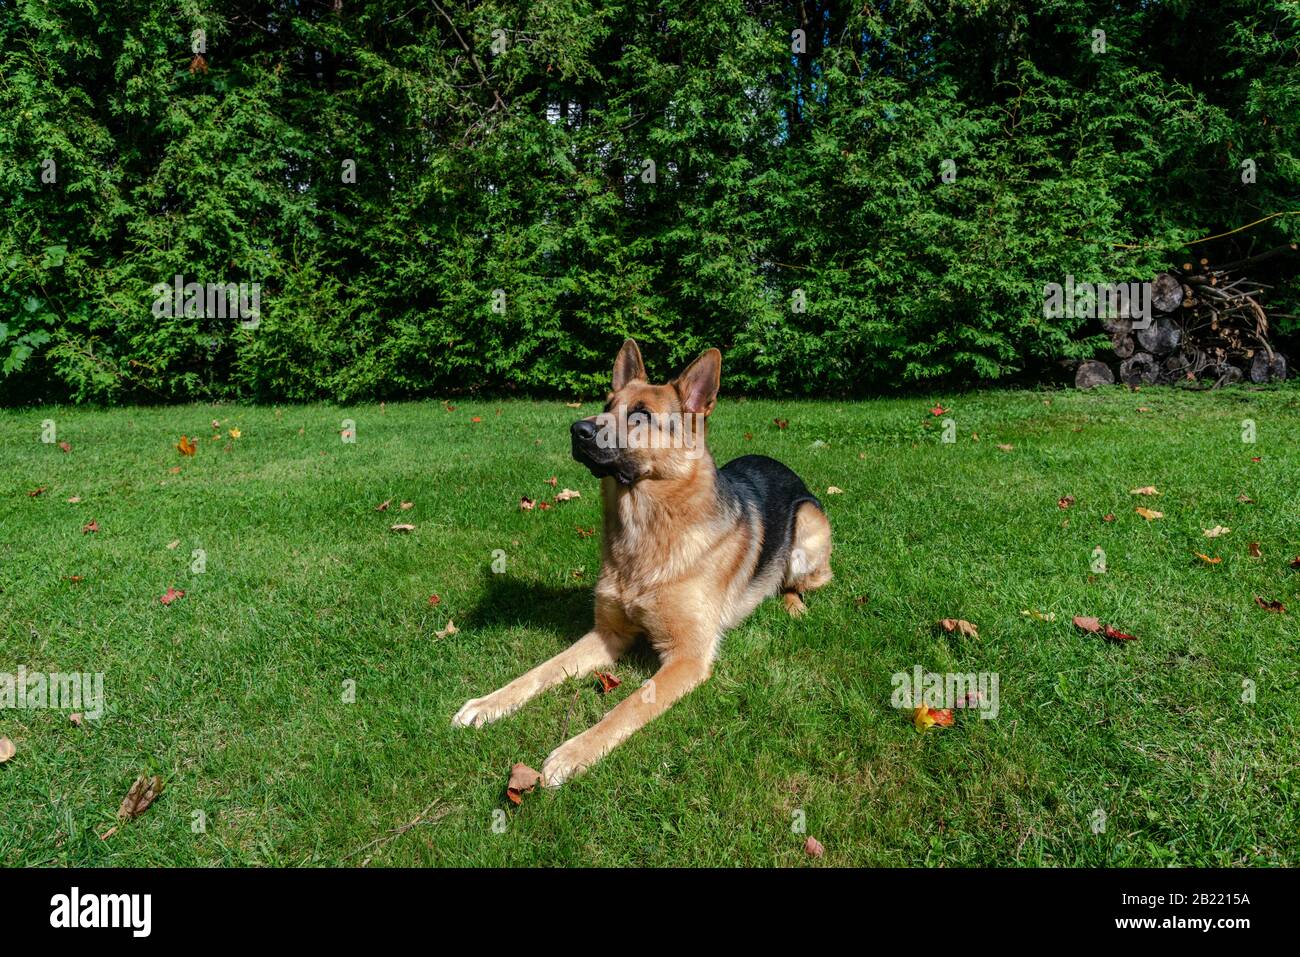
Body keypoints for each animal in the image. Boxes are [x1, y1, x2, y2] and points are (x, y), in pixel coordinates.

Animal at [452, 343, 832, 785]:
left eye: (641, 415)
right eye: (606, 406)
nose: (577, 430)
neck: (647, 529)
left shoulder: (686, 658)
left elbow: (629, 705)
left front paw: (575, 751)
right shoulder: (606, 635)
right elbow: (542, 671)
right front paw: (488, 703)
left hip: (806, 531)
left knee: (797, 582)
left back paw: (792, 604)